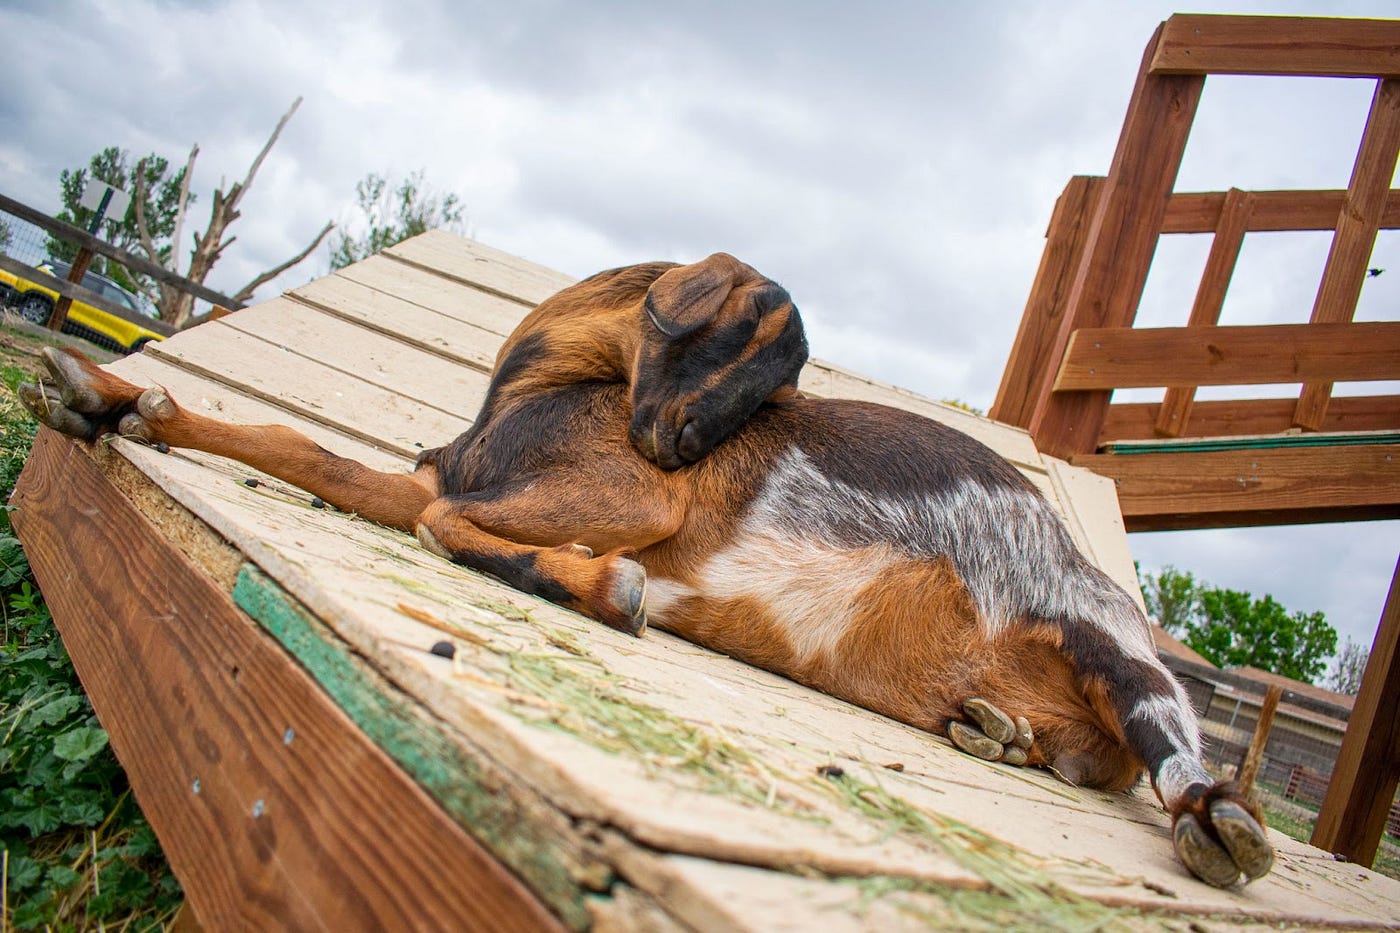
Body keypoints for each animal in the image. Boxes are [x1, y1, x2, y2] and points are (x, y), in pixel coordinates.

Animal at [20, 252, 1274, 888]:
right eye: (761, 365)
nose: (680, 444)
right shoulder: (447, 480)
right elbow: (314, 455)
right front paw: (118, 398)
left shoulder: (616, 498)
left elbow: (442, 526)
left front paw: (592, 585)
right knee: (1082, 762)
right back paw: (993, 730)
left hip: (1108, 648)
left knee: (1165, 760)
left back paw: (1215, 821)